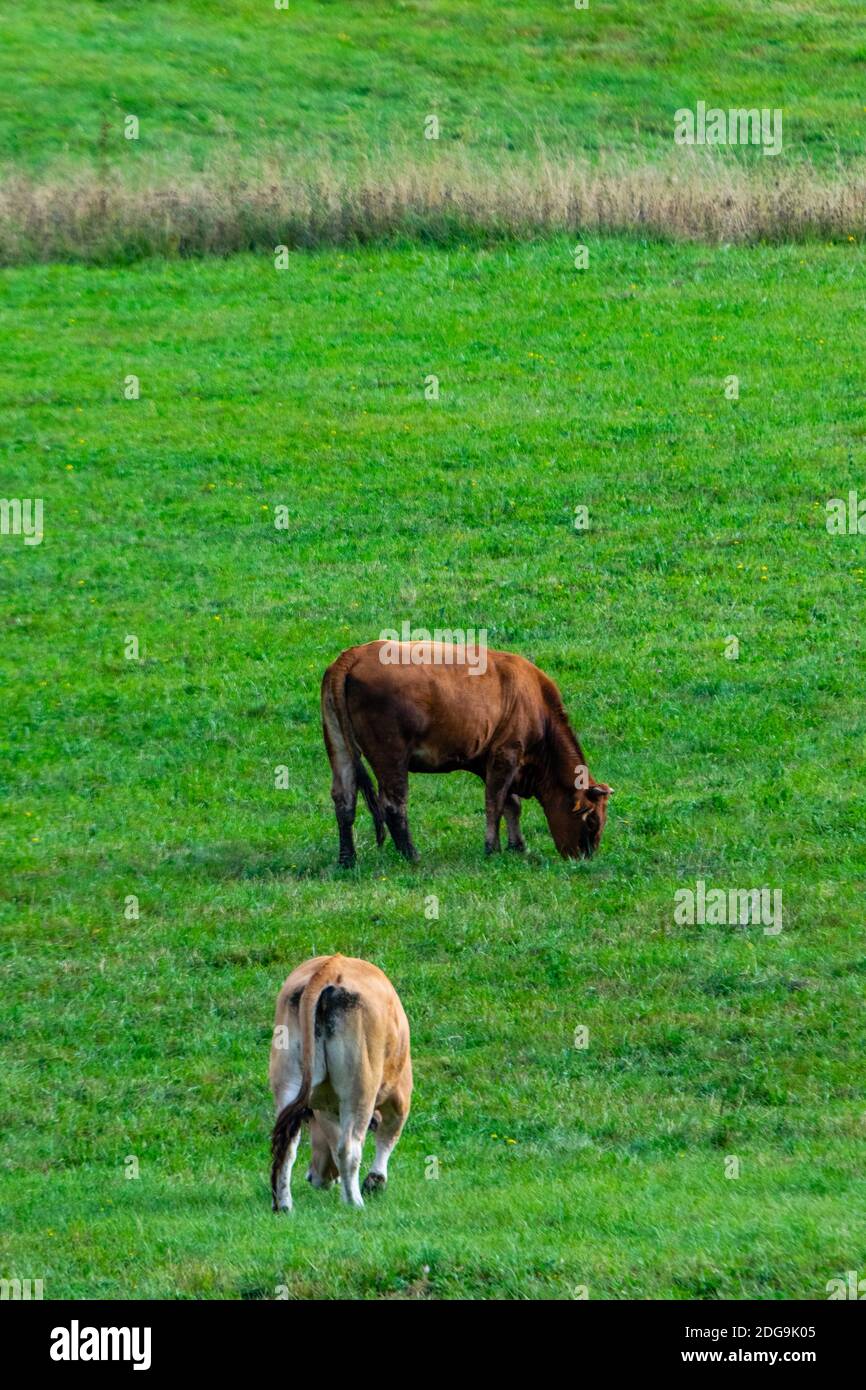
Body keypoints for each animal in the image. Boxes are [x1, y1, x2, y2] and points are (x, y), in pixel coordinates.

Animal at [269, 953, 412, 1211]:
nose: (311, 1176)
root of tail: (331, 965)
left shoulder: (325, 1107)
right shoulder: (400, 1093)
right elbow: (389, 1134)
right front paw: (375, 1181)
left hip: (286, 1079)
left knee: (287, 1145)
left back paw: (284, 1205)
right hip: (360, 1088)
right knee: (349, 1148)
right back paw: (356, 1202)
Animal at [321, 641, 612, 865]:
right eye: (592, 821)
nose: (585, 858)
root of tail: (355, 654)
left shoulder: (493, 762)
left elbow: (512, 804)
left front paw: (517, 846)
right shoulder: (506, 754)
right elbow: (495, 803)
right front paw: (492, 849)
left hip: (339, 747)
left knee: (345, 800)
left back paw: (347, 860)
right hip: (391, 756)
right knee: (393, 804)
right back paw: (412, 856)